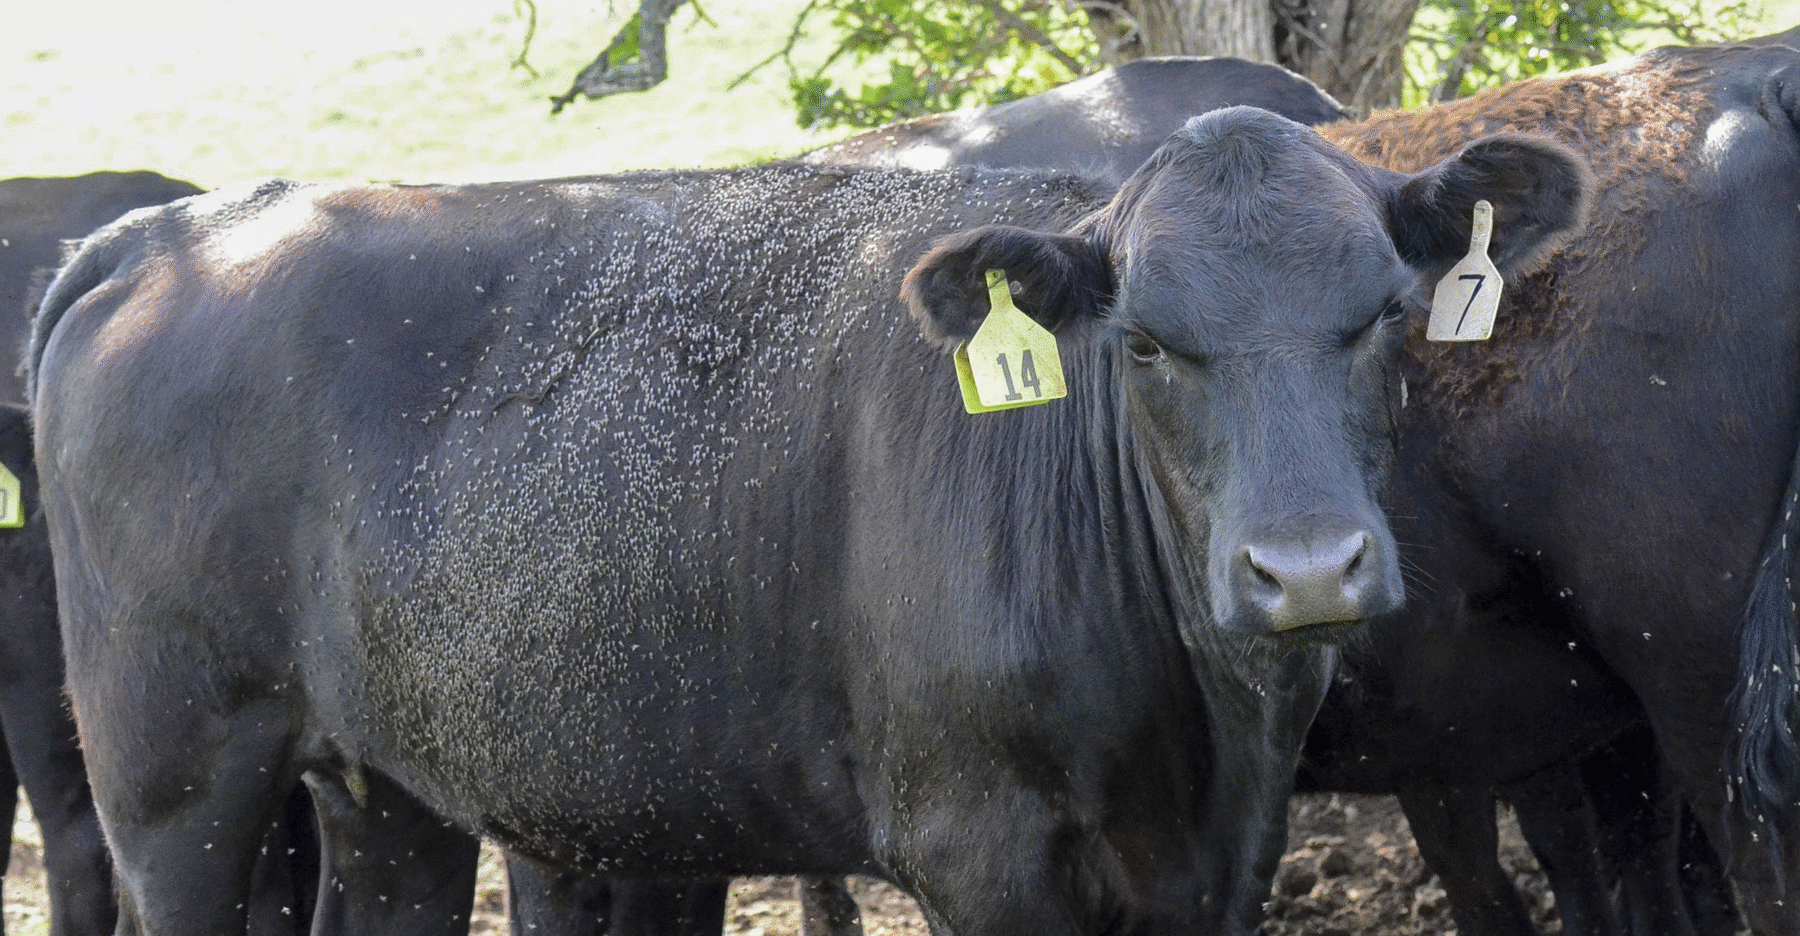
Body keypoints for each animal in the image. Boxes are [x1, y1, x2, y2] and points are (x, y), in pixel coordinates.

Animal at [28, 107, 1584, 935]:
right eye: (1143, 342)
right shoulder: (980, 846)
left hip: (387, 788)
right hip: (174, 776)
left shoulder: (1221, 860)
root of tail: (180, 230)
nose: (1306, 568)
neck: (1195, 725)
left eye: (1383, 312)